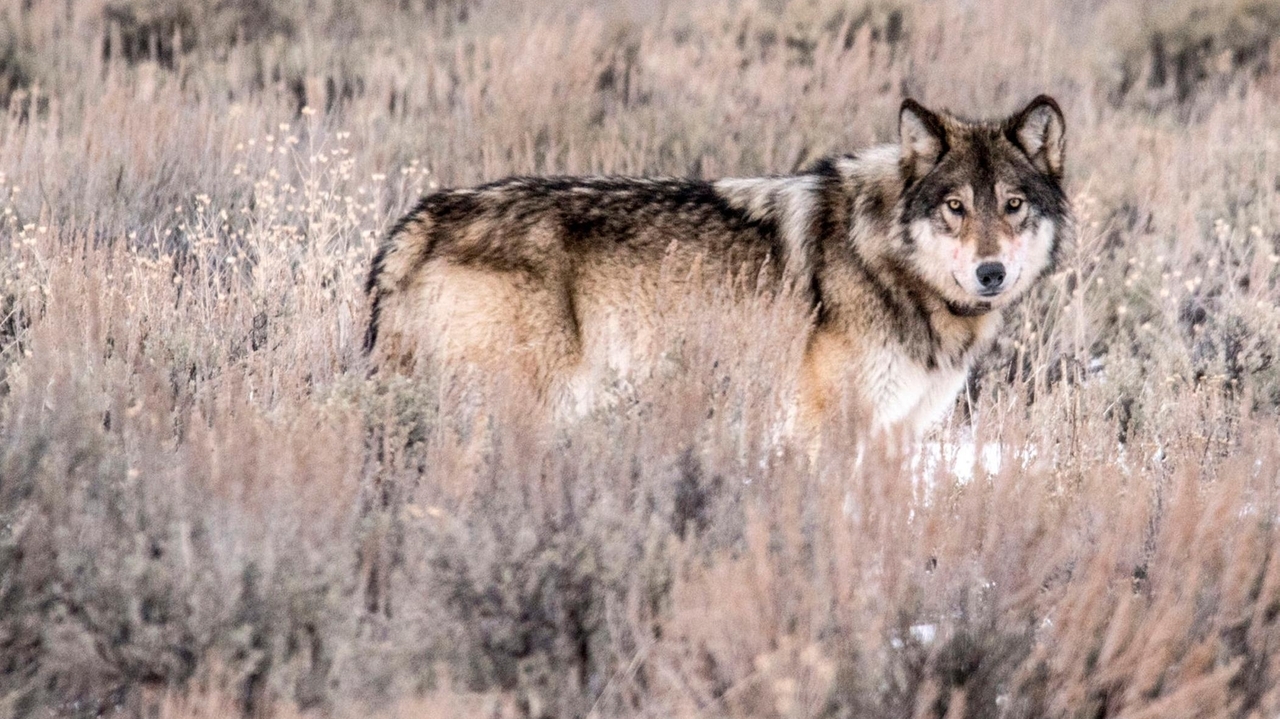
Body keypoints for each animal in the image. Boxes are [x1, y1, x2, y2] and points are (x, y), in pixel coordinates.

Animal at [364, 96, 1069, 438]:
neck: (889, 264)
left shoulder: (899, 434)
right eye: (955, 207)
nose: (990, 273)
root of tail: (426, 214)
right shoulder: (826, 429)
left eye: (1012, 205)